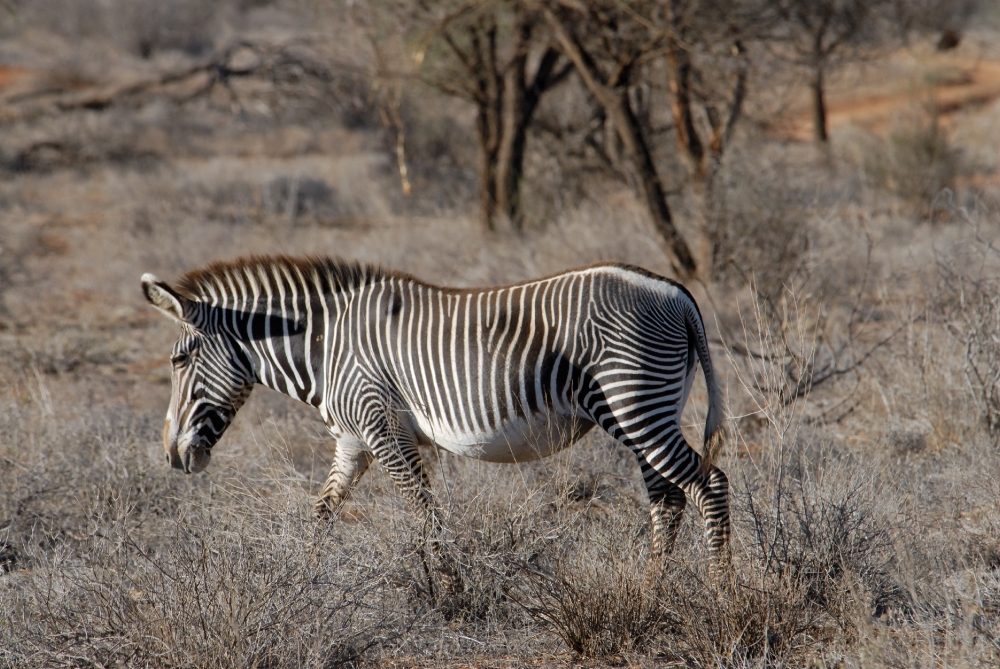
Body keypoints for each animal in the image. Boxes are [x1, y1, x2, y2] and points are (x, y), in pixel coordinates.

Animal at [141, 256, 730, 561]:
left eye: (178, 359)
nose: (171, 457)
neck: (326, 346)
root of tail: (678, 295)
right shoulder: (353, 442)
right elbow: (322, 513)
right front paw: (302, 586)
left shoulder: (384, 430)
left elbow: (426, 515)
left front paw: (448, 590)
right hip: (645, 411)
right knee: (668, 500)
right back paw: (651, 594)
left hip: (636, 405)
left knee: (709, 484)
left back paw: (720, 596)